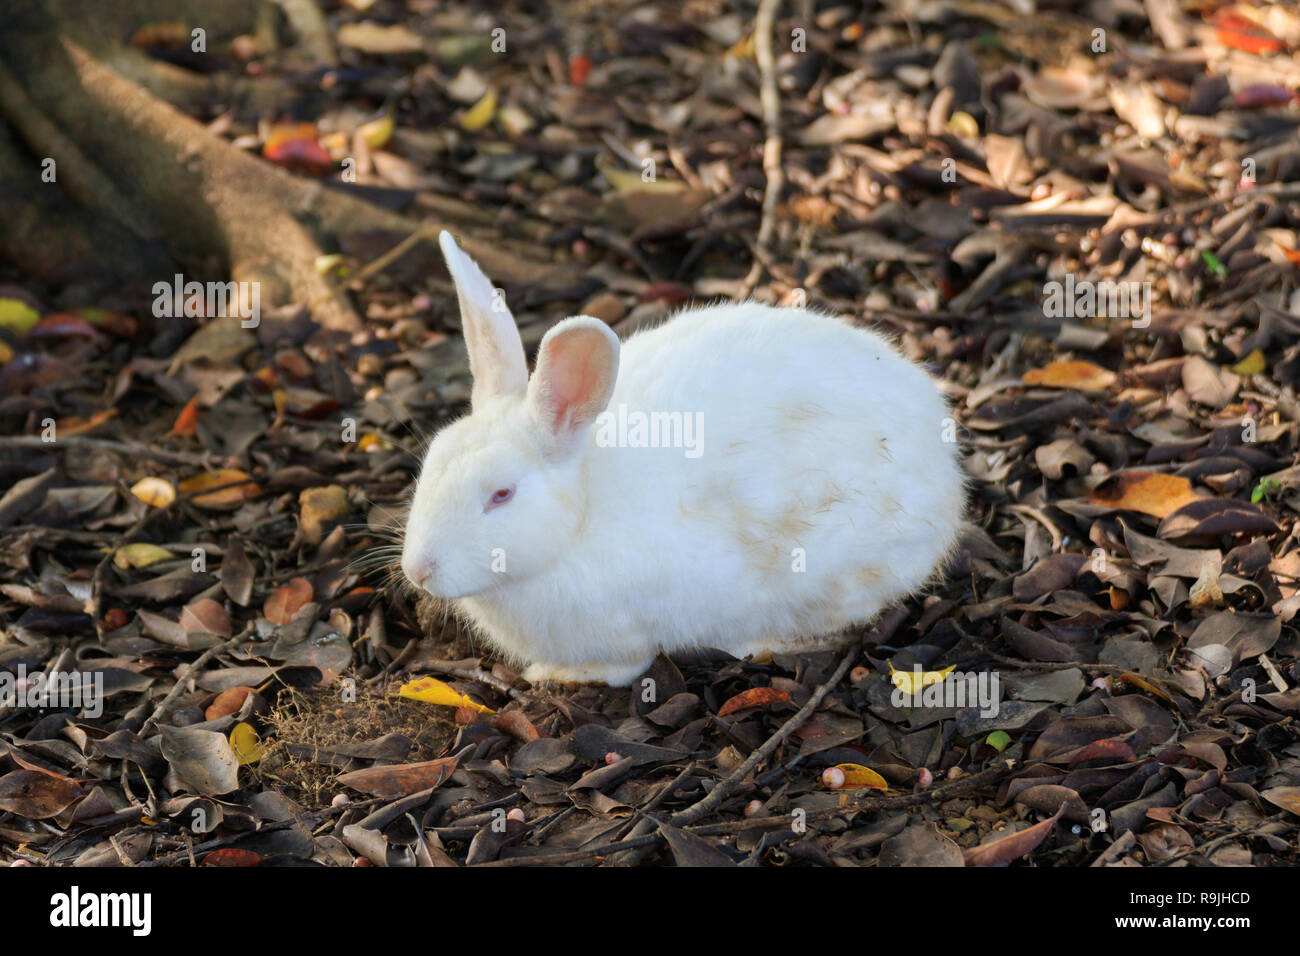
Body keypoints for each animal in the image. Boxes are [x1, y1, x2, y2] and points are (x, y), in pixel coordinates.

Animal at [400, 232, 967, 686]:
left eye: (501, 494)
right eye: (428, 466)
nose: (418, 571)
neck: (579, 517)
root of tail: (945, 462)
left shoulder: (627, 634)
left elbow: (622, 667)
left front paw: (556, 675)